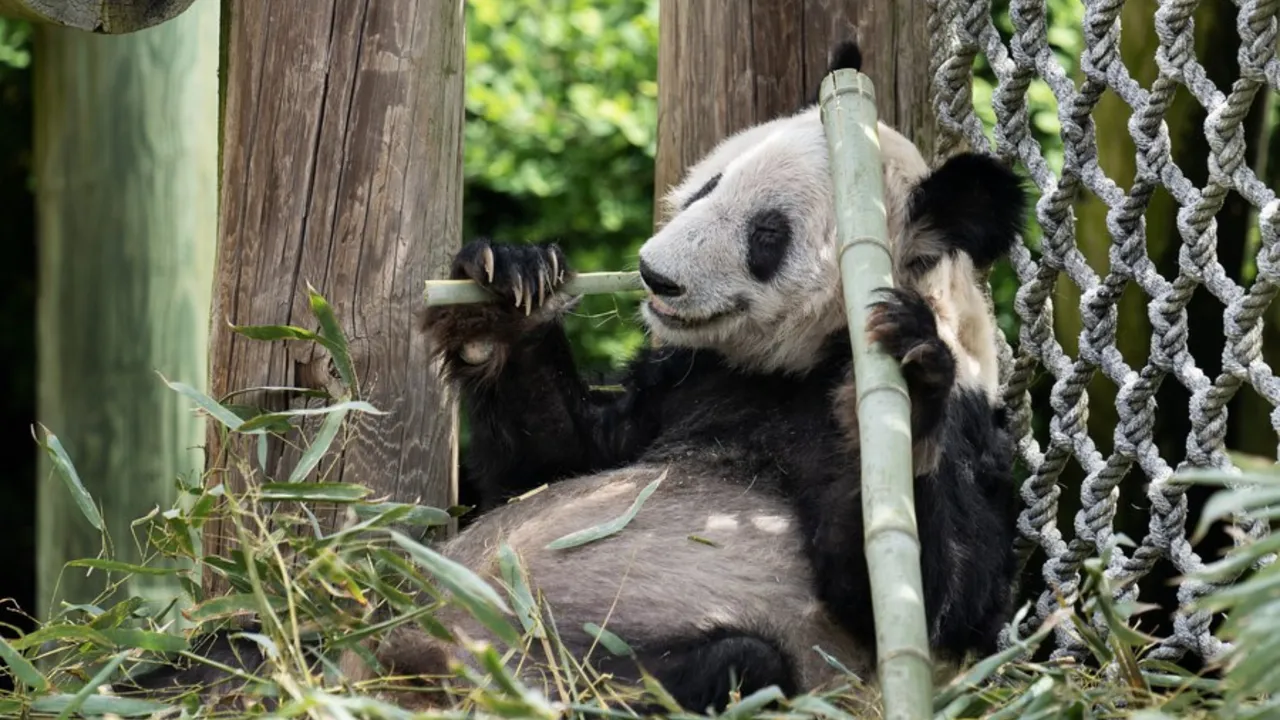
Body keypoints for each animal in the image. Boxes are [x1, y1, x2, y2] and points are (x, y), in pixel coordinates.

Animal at [112, 41, 1025, 715]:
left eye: (768, 234)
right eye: (709, 183)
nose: (655, 278)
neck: (791, 366)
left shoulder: (966, 433)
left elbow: (931, 597)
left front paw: (909, 383)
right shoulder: (680, 382)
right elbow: (551, 463)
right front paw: (505, 287)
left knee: (728, 668)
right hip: (334, 619)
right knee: (230, 648)